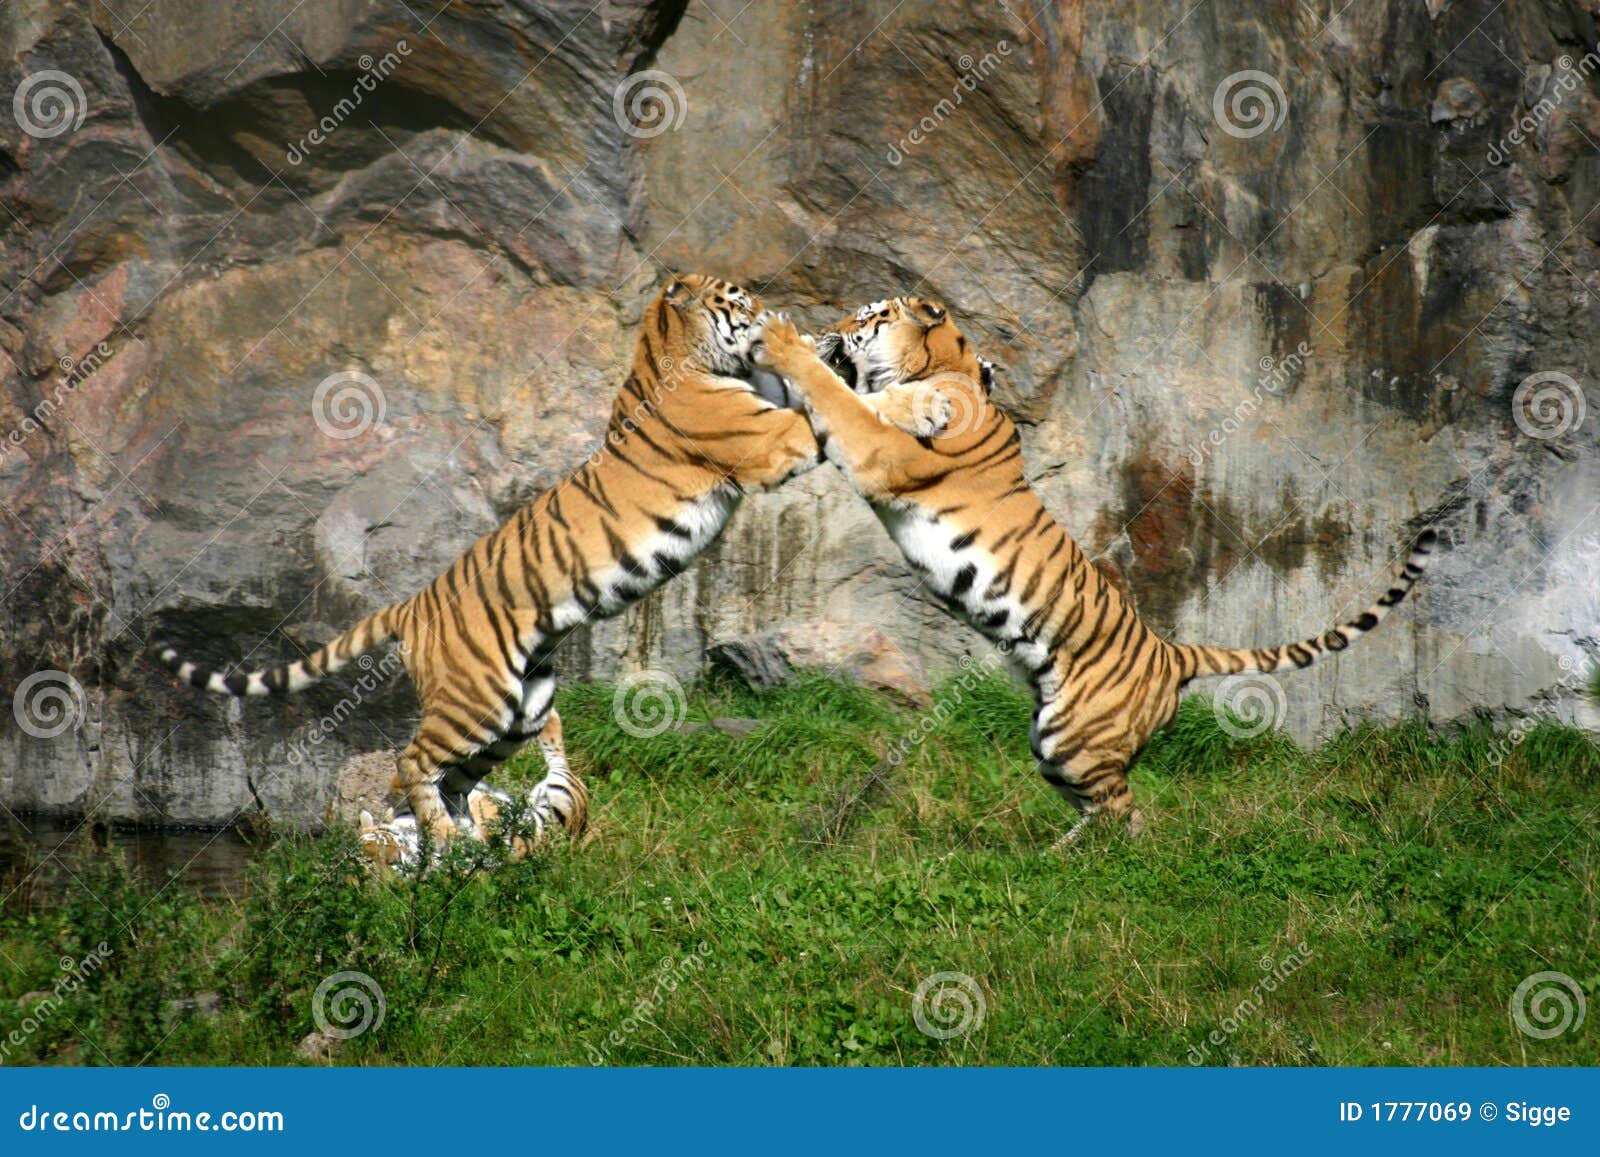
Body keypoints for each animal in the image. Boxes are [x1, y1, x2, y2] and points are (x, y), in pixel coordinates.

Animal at [153, 275, 829, 858]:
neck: (668, 349)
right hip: (474, 700)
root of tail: (412, 602)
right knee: (411, 761)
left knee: (449, 779)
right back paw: (446, 840)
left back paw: (451, 838)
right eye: (740, 298)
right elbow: (827, 405)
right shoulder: (770, 441)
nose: (774, 311)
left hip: (519, 710)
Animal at [751, 298, 1438, 845]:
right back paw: (1044, 859)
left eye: (868, 316)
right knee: (1107, 815)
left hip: (1073, 739)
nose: (829, 328)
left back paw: (1067, 869)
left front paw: (785, 344)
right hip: (1051, 746)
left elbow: (839, 397)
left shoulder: (882, 453)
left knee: (1126, 819)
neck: (944, 370)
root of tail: (1173, 653)